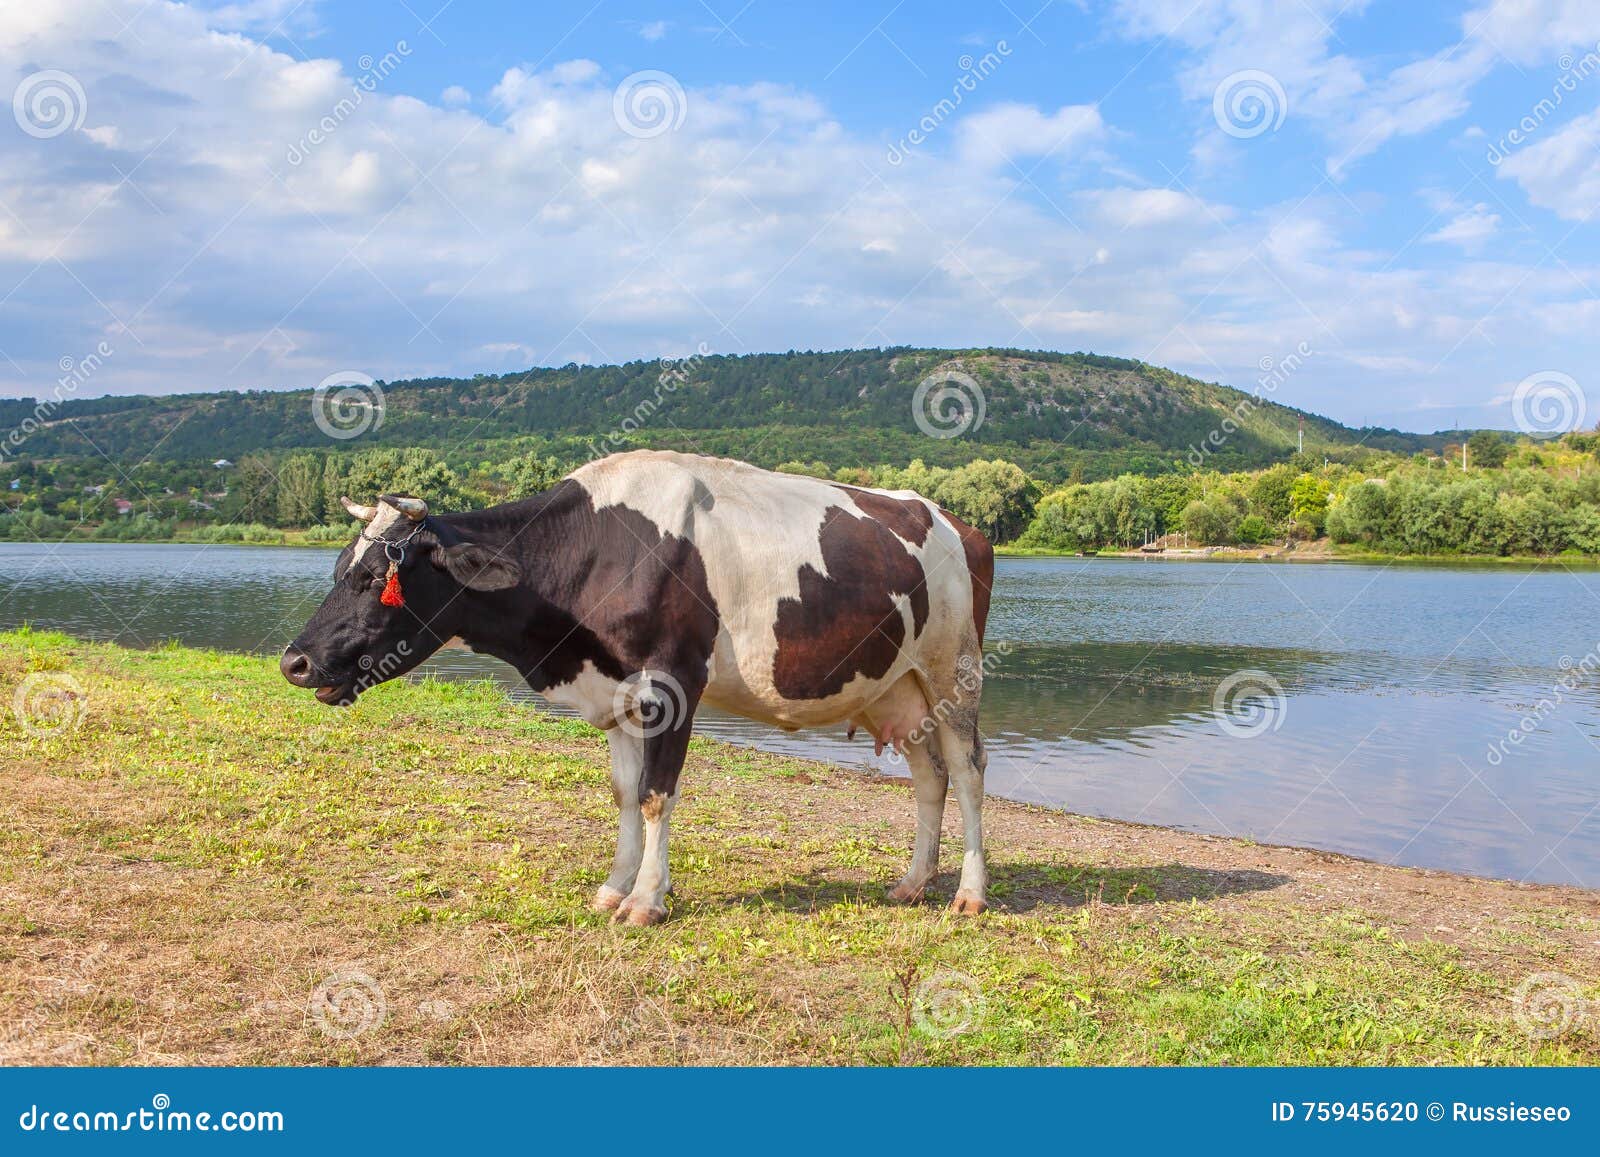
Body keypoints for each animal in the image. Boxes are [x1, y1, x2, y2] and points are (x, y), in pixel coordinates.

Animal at [280, 450, 994, 925]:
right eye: (339, 567)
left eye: (377, 577)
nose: (295, 663)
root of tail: (954, 520)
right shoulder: (617, 695)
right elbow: (624, 793)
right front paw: (613, 888)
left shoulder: (673, 683)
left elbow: (656, 795)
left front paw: (647, 900)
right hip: (898, 688)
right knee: (929, 777)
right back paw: (912, 883)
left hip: (954, 673)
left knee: (967, 772)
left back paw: (970, 891)